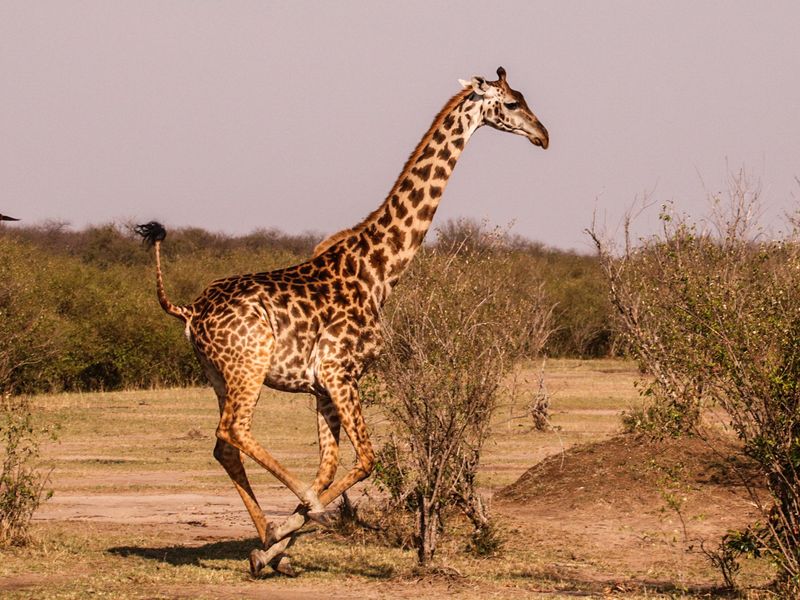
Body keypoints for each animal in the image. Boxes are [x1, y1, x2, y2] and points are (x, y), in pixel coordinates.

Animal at [136, 66, 548, 576]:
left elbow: (330, 465)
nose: (543, 135)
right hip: (249, 365)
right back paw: (298, 517)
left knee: (224, 444)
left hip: (216, 374)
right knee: (234, 430)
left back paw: (268, 537)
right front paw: (297, 523)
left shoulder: (321, 385)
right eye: (511, 104)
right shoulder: (340, 372)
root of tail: (190, 311)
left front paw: (275, 546)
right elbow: (365, 459)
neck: (381, 270)